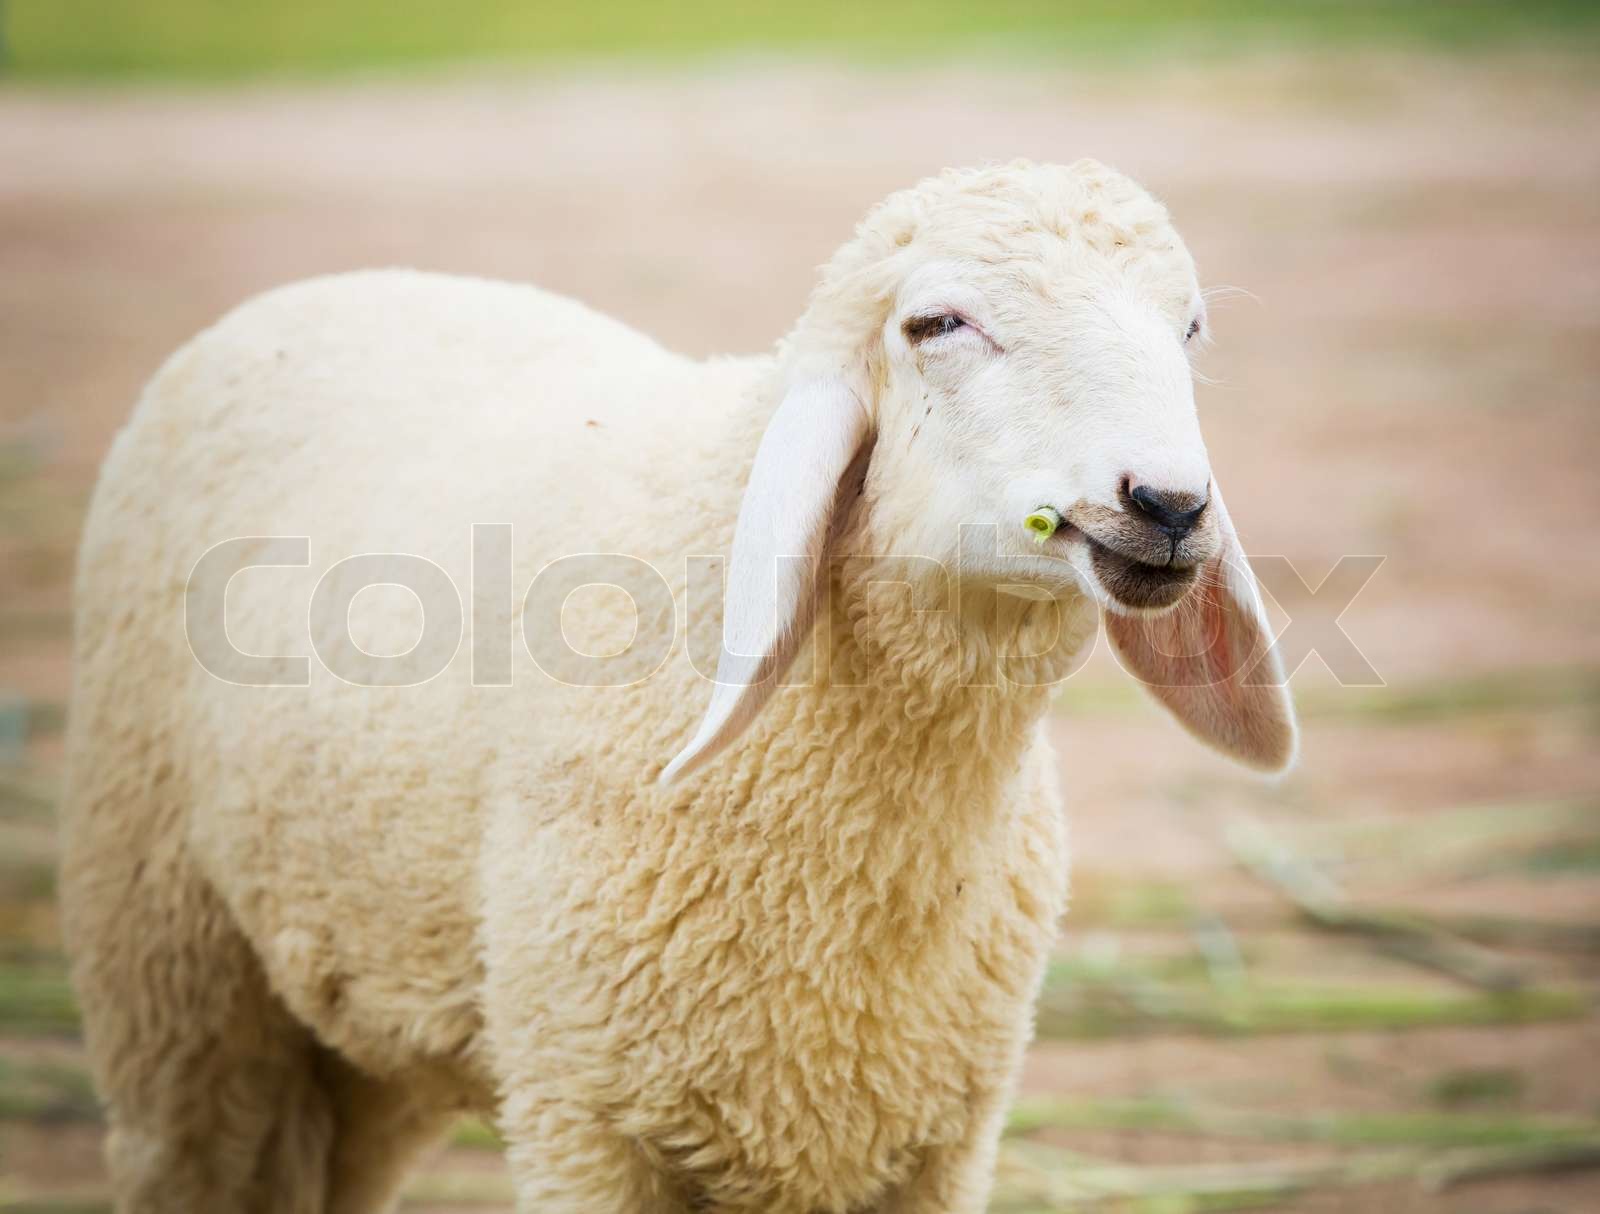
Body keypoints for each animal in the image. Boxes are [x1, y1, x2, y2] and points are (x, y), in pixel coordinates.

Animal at [60, 158, 1296, 1214]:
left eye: (1190, 327)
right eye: (936, 324)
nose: (1168, 503)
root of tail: (322, 287)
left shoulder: (934, 1136)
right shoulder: (582, 1108)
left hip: (368, 1002)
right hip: (173, 957)